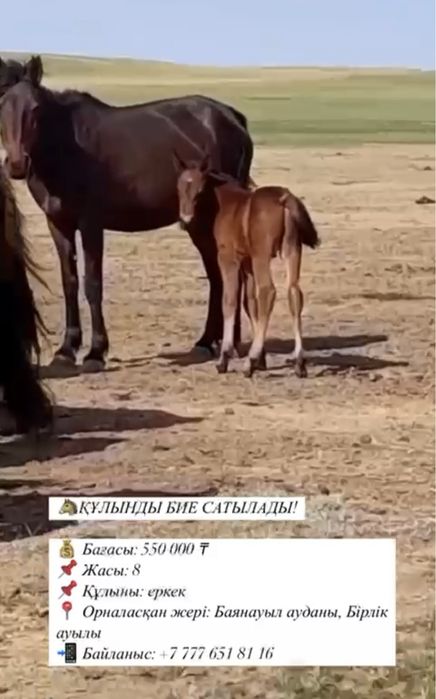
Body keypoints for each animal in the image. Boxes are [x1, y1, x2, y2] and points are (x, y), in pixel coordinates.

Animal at [0, 55, 254, 372]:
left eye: (34, 108)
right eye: (2, 106)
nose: (17, 164)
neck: (66, 149)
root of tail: (232, 118)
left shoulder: (91, 224)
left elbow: (92, 284)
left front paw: (96, 352)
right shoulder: (58, 224)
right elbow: (69, 283)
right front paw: (67, 350)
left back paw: (221, 342)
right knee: (219, 275)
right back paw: (211, 342)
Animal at [175, 155, 321, 378]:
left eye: (199, 191)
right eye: (179, 187)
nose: (185, 220)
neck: (226, 203)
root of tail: (284, 198)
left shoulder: (228, 258)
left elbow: (229, 300)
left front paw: (225, 357)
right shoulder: (247, 261)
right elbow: (249, 302)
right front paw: (261, 358)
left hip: (263, 255)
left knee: (268, 291)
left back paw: (249, 363)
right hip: (291, 250)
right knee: (294, 293)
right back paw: (298, 362)